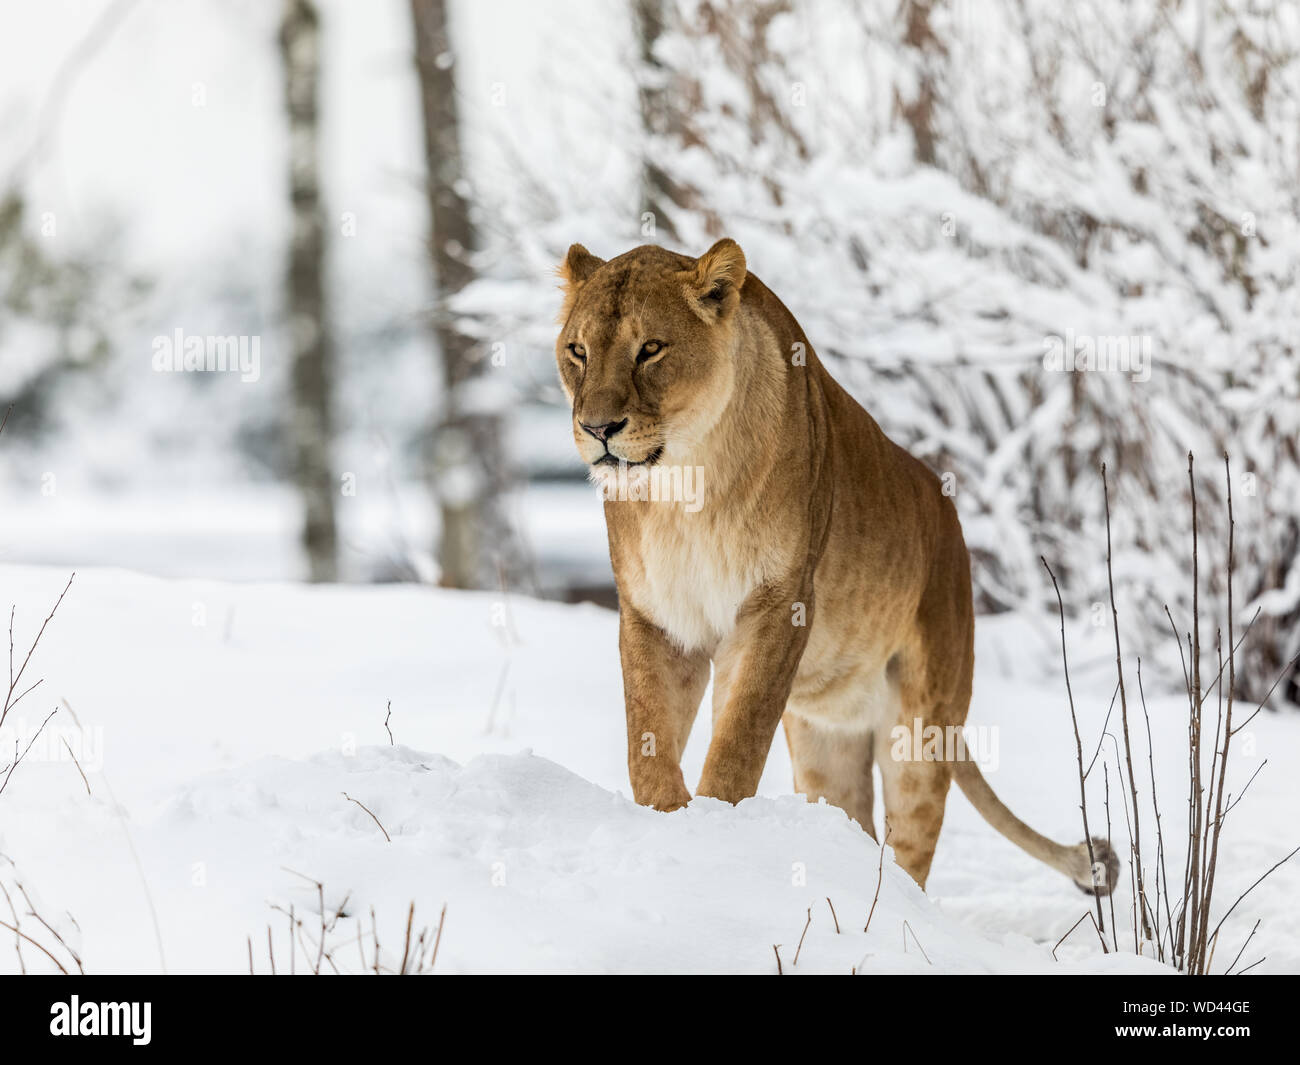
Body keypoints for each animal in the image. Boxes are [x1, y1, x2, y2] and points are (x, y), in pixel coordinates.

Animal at [554, 238, 1119, 895]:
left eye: (650, 348)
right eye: (578, 351)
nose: (598, 428)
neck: (684, 487)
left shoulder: (779, 604)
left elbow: (738, 739)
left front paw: (712, 840)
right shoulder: (655, 615)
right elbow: (646, 736)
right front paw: (668, 830)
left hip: (921, 729)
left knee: (909, 850)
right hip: (828, 739)